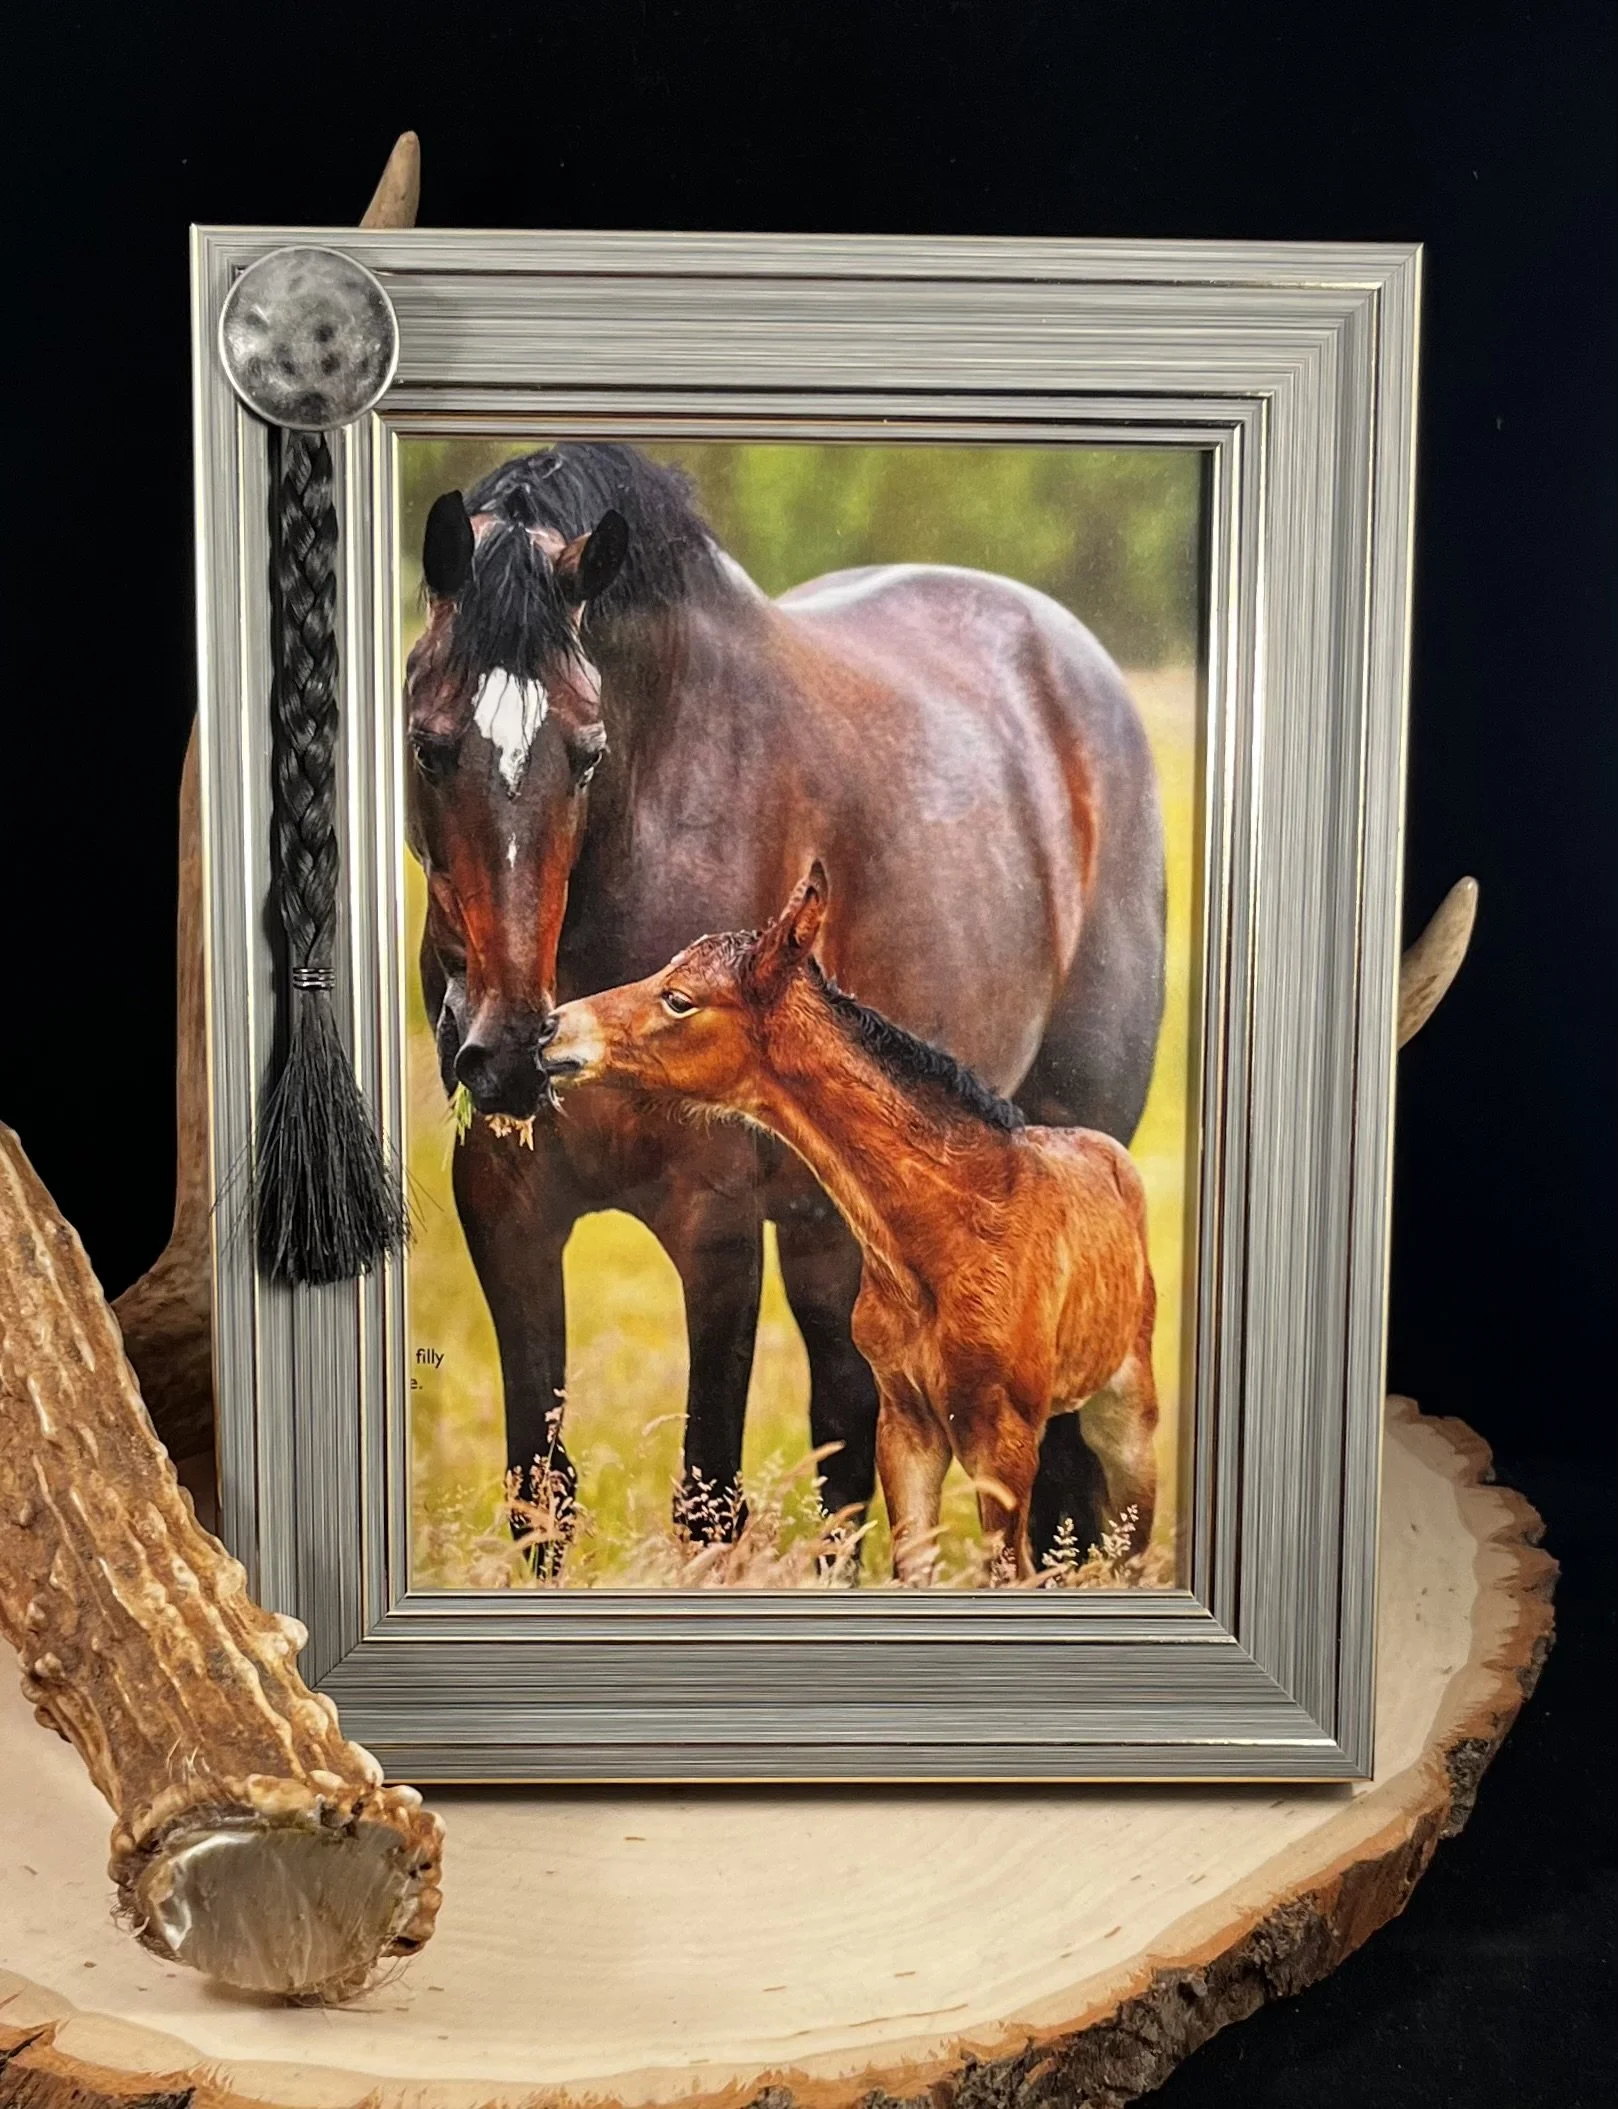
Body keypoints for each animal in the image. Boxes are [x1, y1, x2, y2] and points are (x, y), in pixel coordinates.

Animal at [542, 862, 1160, 1583]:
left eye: (679, 999)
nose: (551, 1029)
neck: (944, 1233)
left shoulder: (1004, 1438)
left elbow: (1006, 1568)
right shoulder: (906, 1423)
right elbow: (912, 1564)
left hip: (1128, 1421)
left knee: (1127, 1545)